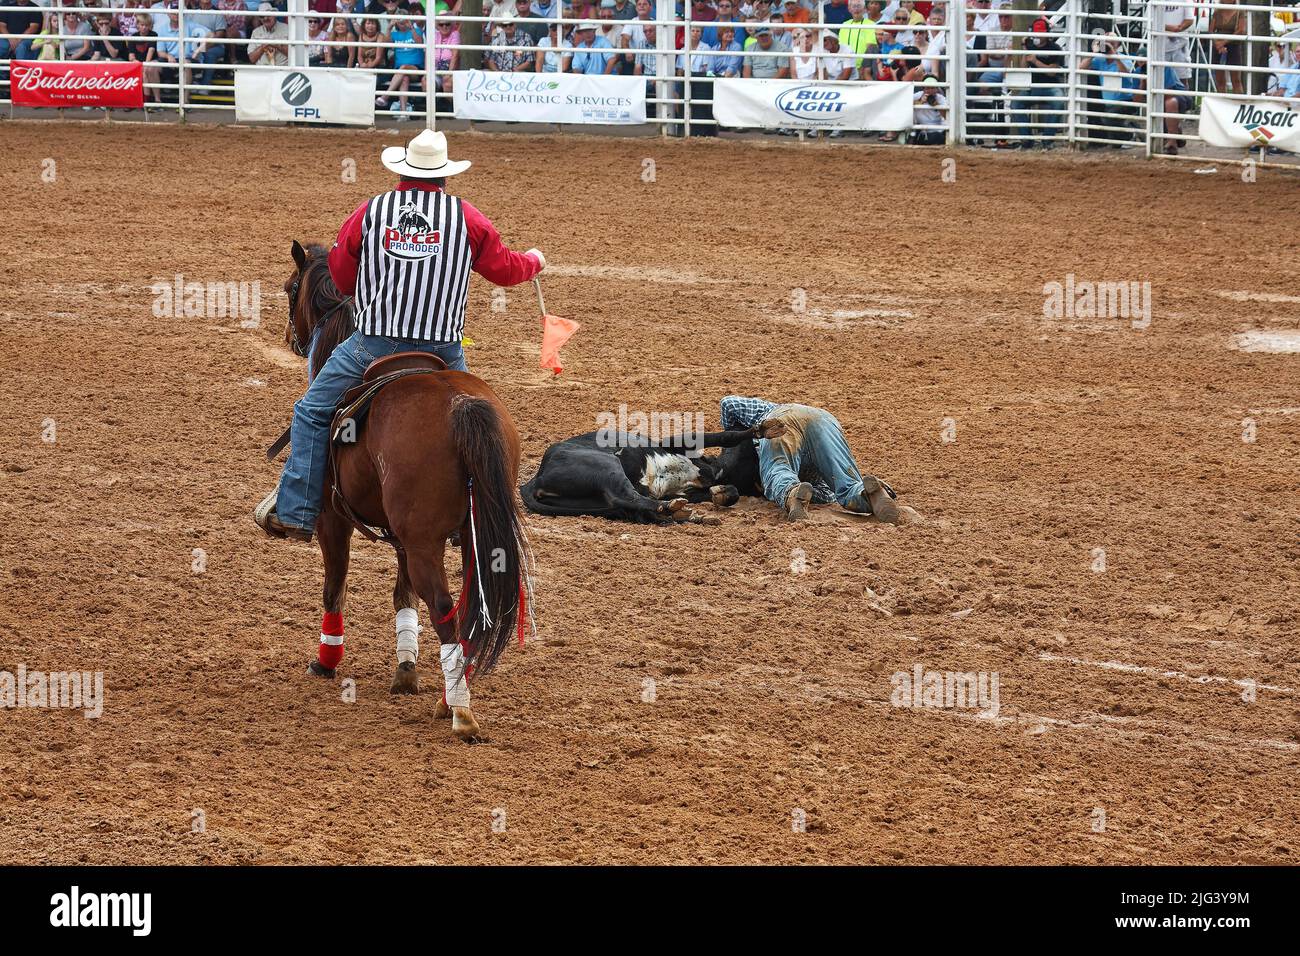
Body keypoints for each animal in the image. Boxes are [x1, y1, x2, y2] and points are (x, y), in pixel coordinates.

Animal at [281, 239, 534, 742]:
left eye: (290, 288)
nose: (290, 337)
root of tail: (460, 405)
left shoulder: (332, 520)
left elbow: (335, 585)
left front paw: (326, 660)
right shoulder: (401, 536)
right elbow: (403, 596)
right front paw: (406, 670)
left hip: (422, 543)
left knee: (445, 609)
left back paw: (461, 712)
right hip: (471, 539)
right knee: (467, 612)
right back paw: (449, 697)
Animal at [520, 419, 785, 524]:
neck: (714, 470)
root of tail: (536, 478)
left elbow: (728, 492)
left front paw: (720, 494)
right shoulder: (678, 441)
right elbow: (724, 435)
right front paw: (766, 429)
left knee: (631, 505)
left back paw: (686, 515)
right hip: (607, 465)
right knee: (625, 497)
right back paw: (675, 511)